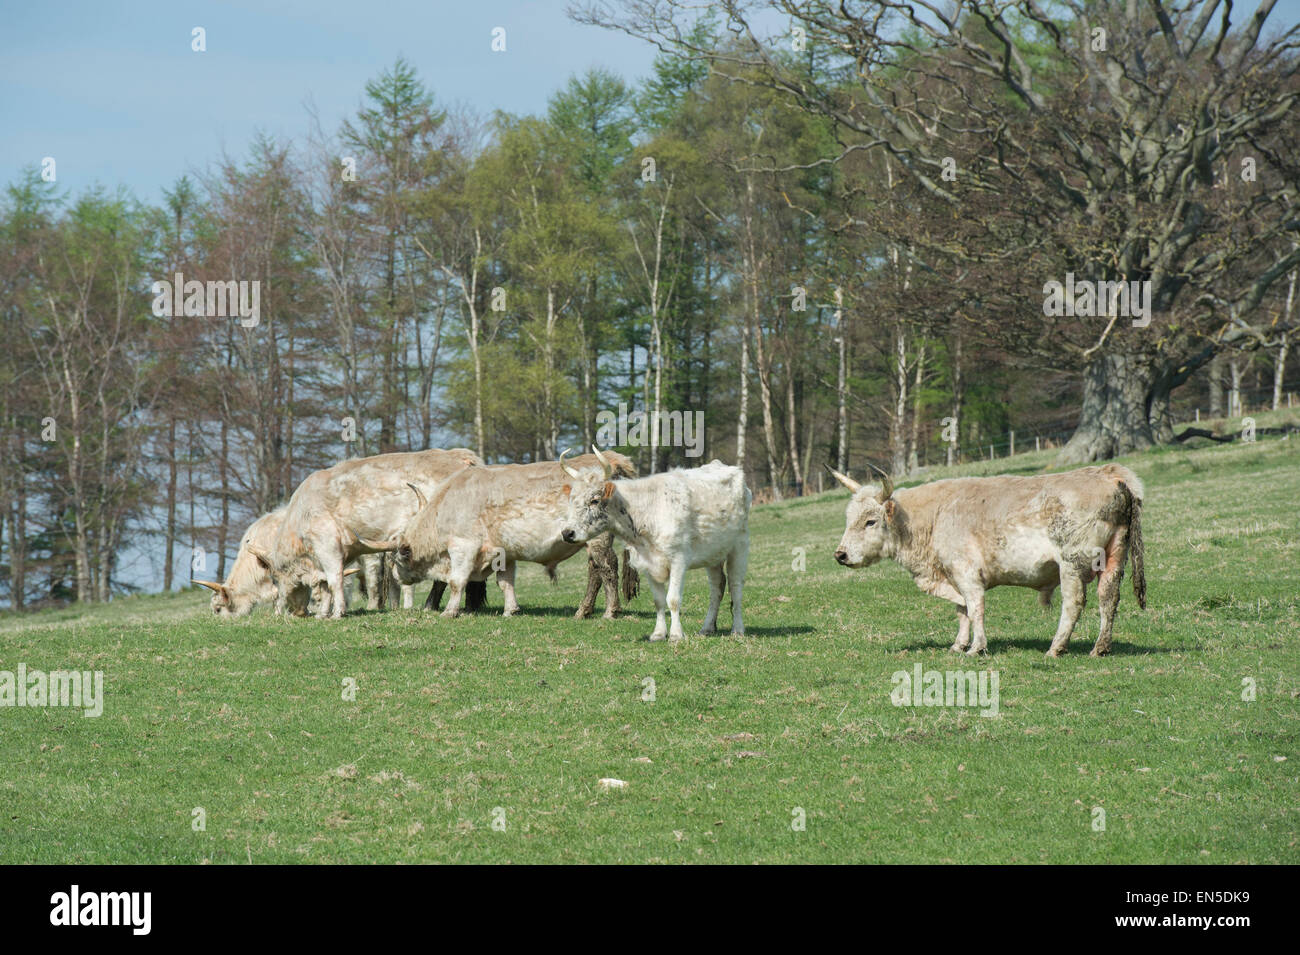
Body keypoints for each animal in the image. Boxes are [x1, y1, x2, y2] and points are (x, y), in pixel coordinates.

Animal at [257, 448, 485, 619]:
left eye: (274, 580)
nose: (293, 612)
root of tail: (462, 456)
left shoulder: (328, 544)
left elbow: (334, 580)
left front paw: (337, 613)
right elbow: (325, 584)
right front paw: (323, 613)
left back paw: (430, 605)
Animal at [370, 451, 638, 619]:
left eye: (395, 560)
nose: (397, 577)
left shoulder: (463, 547)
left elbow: (457, 581)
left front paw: (449, 611)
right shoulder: (504, 552)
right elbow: (505, 582)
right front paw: (511, 610)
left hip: (598, 538)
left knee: (606, 568)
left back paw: (610, 611)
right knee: (595, 571)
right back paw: (584, 611)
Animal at [560, 449, 751, 642]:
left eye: (595, 500)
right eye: (572, 500)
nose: (567, 533)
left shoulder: (678, 559)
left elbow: (673, 599)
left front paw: (676, 635)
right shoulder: (647, 563)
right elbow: (658, 601)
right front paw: (658, 633)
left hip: (739, 546)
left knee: (736, 586)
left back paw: (737, 629)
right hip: (714, 554)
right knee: (717, 587)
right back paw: (707, 628)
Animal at [828, 463, 1146, 657]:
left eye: (870, 521)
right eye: (848, 518)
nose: (840, 554)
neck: (934, 516)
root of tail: (1109, 474)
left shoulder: (966, 573)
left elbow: (975, 608)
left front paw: (976, 647)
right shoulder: (952, 575)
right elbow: (961, 611)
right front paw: (958, 644)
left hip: (1071, 565)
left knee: (1074, 603)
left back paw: (1056, 647)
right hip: (1113, 559)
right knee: (1108, 599)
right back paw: (1100, 648)